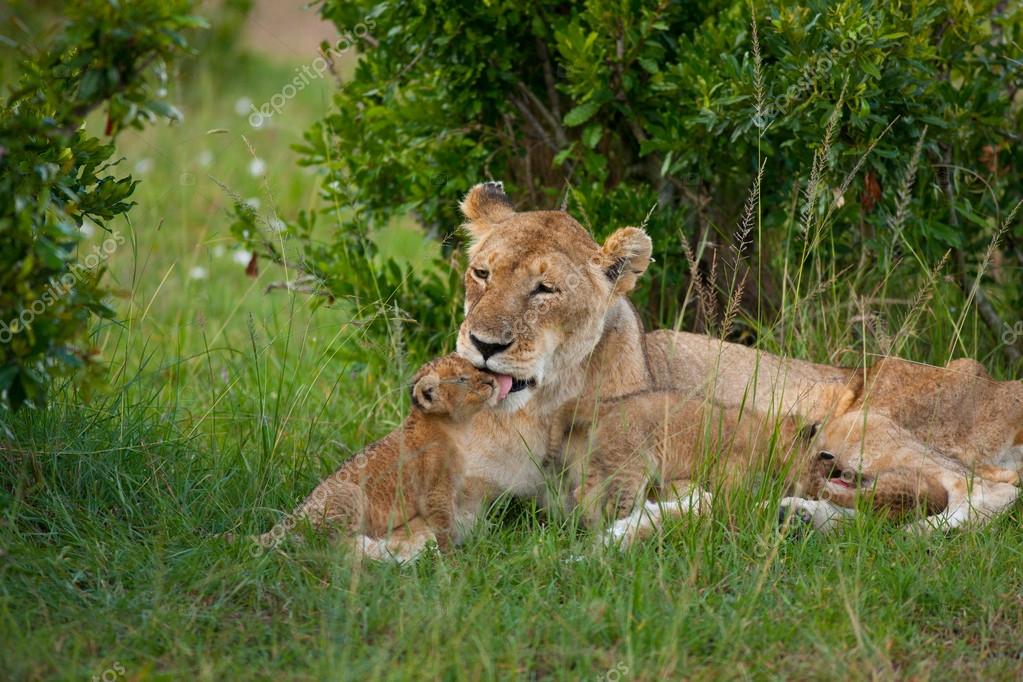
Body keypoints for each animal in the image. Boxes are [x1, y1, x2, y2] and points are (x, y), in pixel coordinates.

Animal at [255, 354, 500, 552]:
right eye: (462, 379)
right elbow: (444, 526)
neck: (455, 427)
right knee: (318, 547)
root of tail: (286, 522)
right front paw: (452, 561)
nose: (492, 381)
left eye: (476, 369)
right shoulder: (435, 492)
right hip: (350, 495)